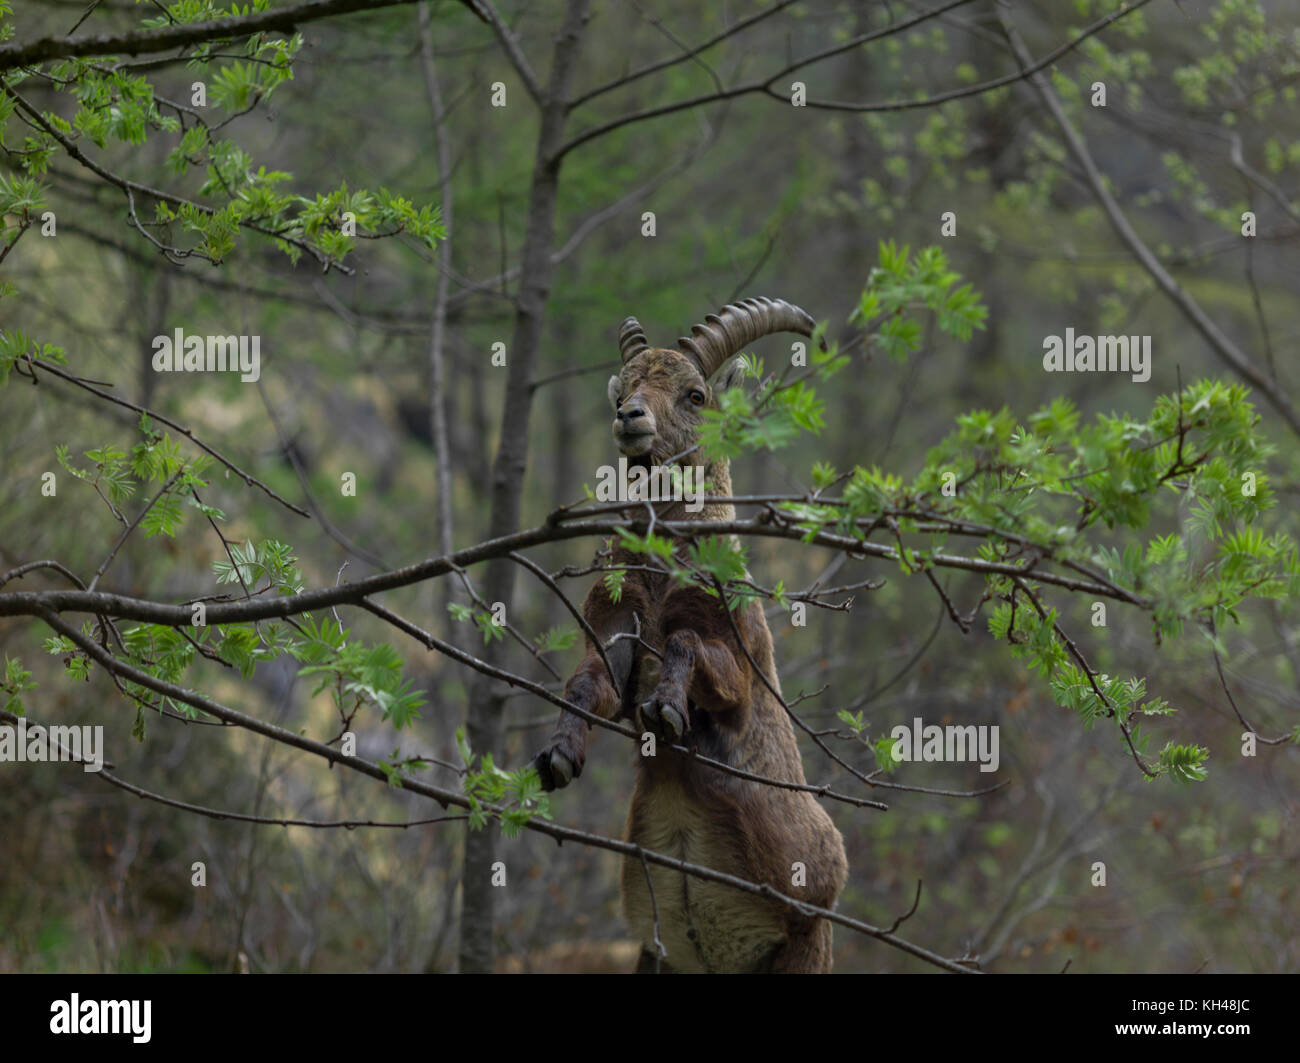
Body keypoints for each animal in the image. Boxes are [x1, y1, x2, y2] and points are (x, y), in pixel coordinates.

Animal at [533, 298, 848, 973]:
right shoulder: (614, 629)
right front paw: (558, 757)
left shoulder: (740, 671)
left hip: (804, 947)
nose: (630, 417)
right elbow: (588, 685)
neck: (660, 580)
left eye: (696, 394)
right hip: (659, 957)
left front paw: (669, 710)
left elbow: (685, 647)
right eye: (622, 387)